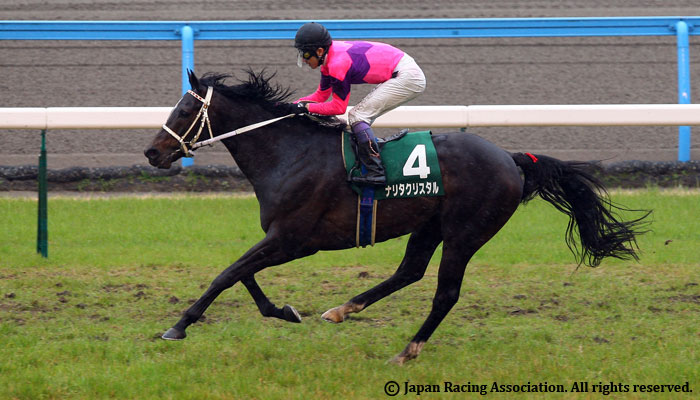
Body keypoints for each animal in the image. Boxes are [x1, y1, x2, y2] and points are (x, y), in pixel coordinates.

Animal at [144, 70, 650, 364]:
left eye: (185, 109)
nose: (152, 152)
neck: (288, 153)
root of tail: (510, 157)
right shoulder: (282, 239)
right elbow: (241, 274)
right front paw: (284, 311)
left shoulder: (294, 239)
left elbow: (227, 274)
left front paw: (178, 326)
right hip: (429, 226)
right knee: (409, 271)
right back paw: (342, 309)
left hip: (466, 233)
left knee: (445, 293)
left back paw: (408, 350)